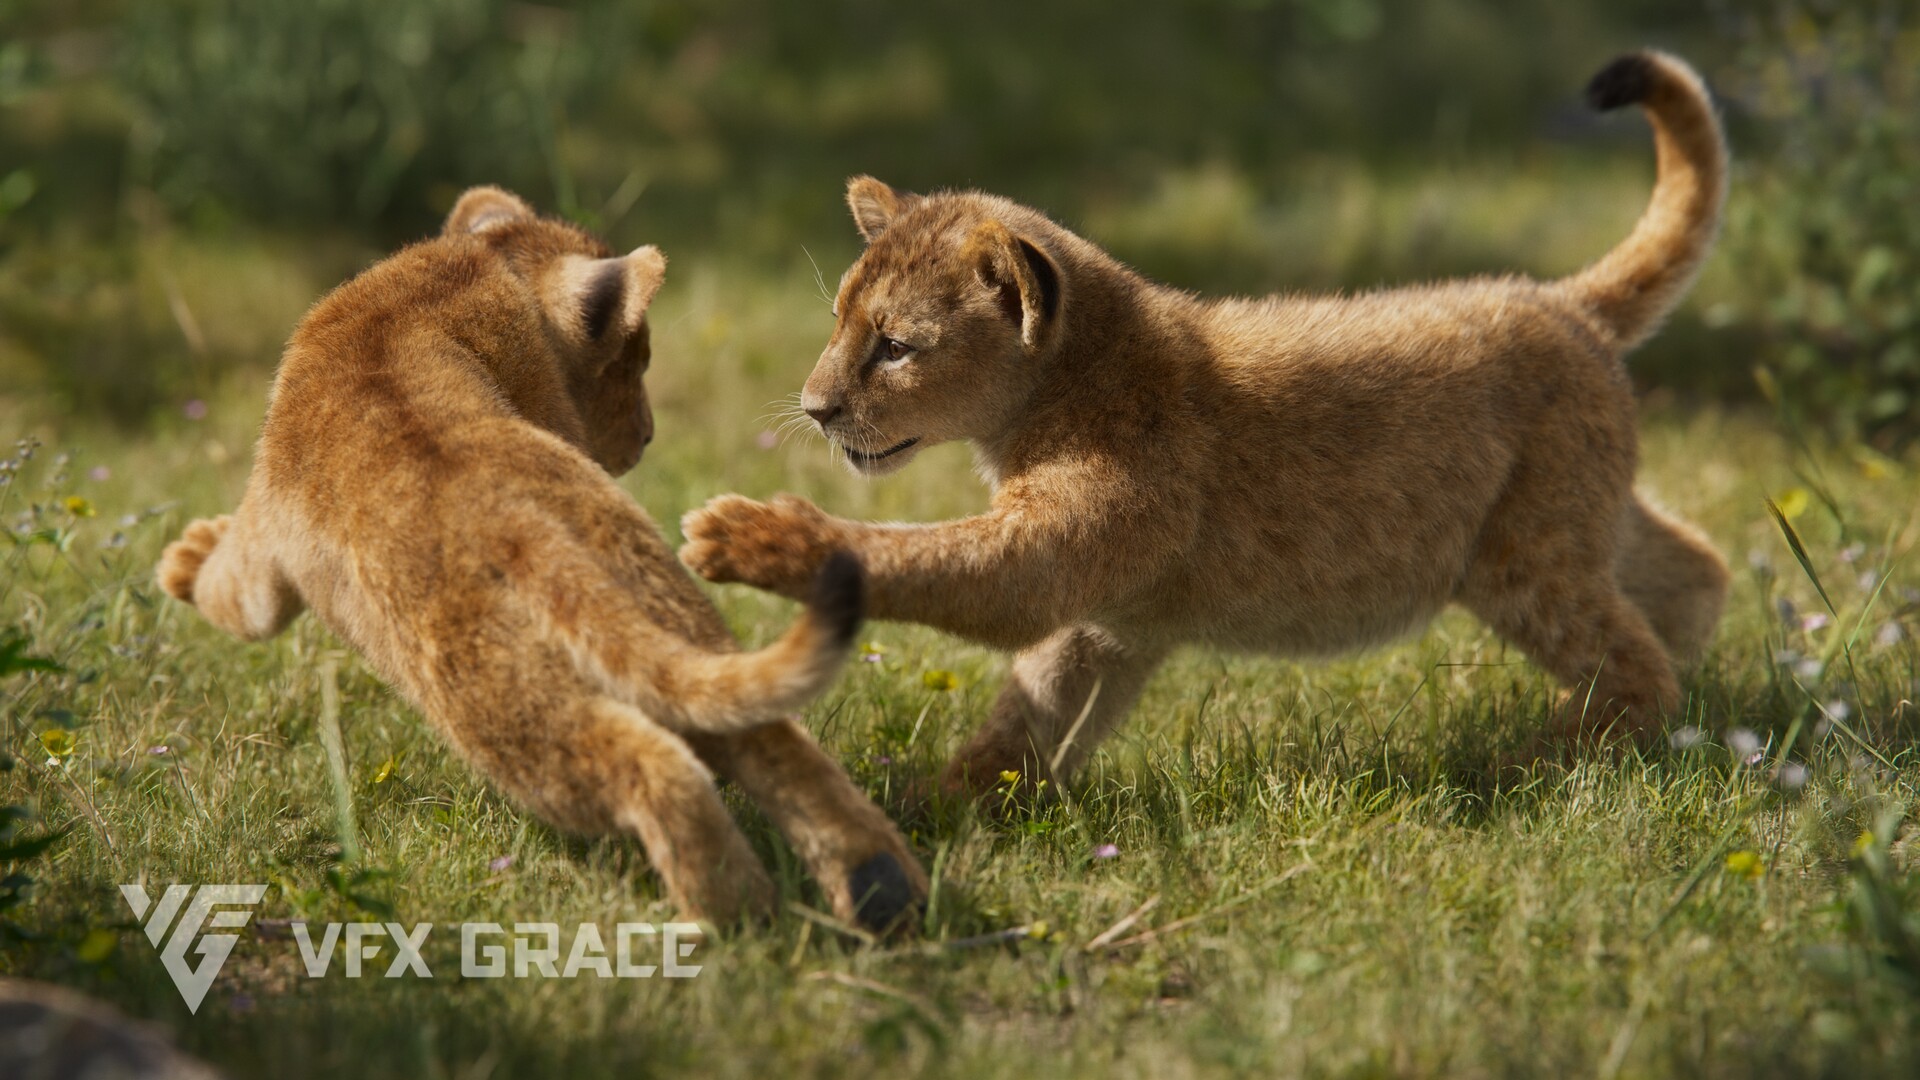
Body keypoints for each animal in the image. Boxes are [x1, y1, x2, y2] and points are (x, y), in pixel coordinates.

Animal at [158, 187, 926, 927]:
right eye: (634, 360)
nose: (647, 436)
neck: (469, 270)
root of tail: (522, 527)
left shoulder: (266, 531)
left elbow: (238, 595)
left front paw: (186, 558)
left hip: (509, 715)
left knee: (656, 768)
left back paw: (735, 922)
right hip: (674, 617)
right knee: (768, 740)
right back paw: (881, 892)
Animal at [680, 52, 1733, 796]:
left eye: (895, 345)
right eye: (837, 322)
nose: (815, 409)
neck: (1056, 386)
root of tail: (1562, 300)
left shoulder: (1057, 552)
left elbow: (910, 555)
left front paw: (747, 534)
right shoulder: (1109, 620)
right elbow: (1026, 719)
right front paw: (947, 807)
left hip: (1524, 561)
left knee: (1630, 666)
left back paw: (1526, 762)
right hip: (1572, 520)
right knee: (1695, 571)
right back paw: (1698, 705)